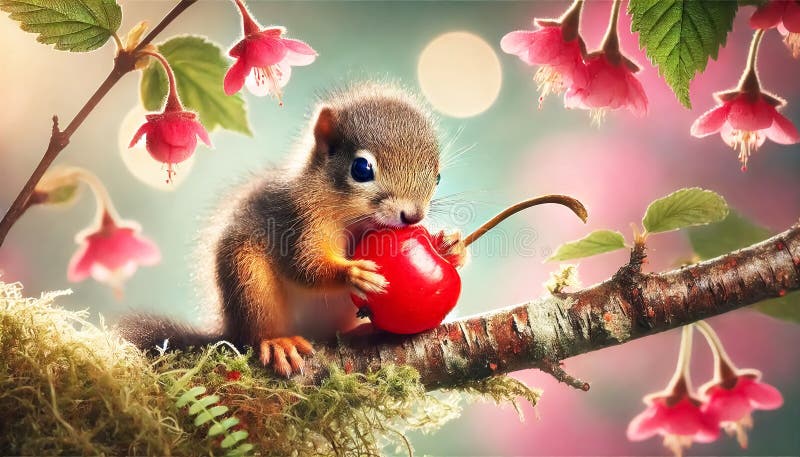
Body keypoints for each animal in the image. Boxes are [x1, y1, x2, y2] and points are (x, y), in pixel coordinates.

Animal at [119, 82, 467, 377]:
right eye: (361, 169)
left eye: (437, 177)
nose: (413, 216)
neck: (355, 218)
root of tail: (229, 329)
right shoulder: (297, 218)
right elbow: (304, 265)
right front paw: (352, 273)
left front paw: (452, 246)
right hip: (248, 279)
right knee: (256, 331)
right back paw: (277, 343)